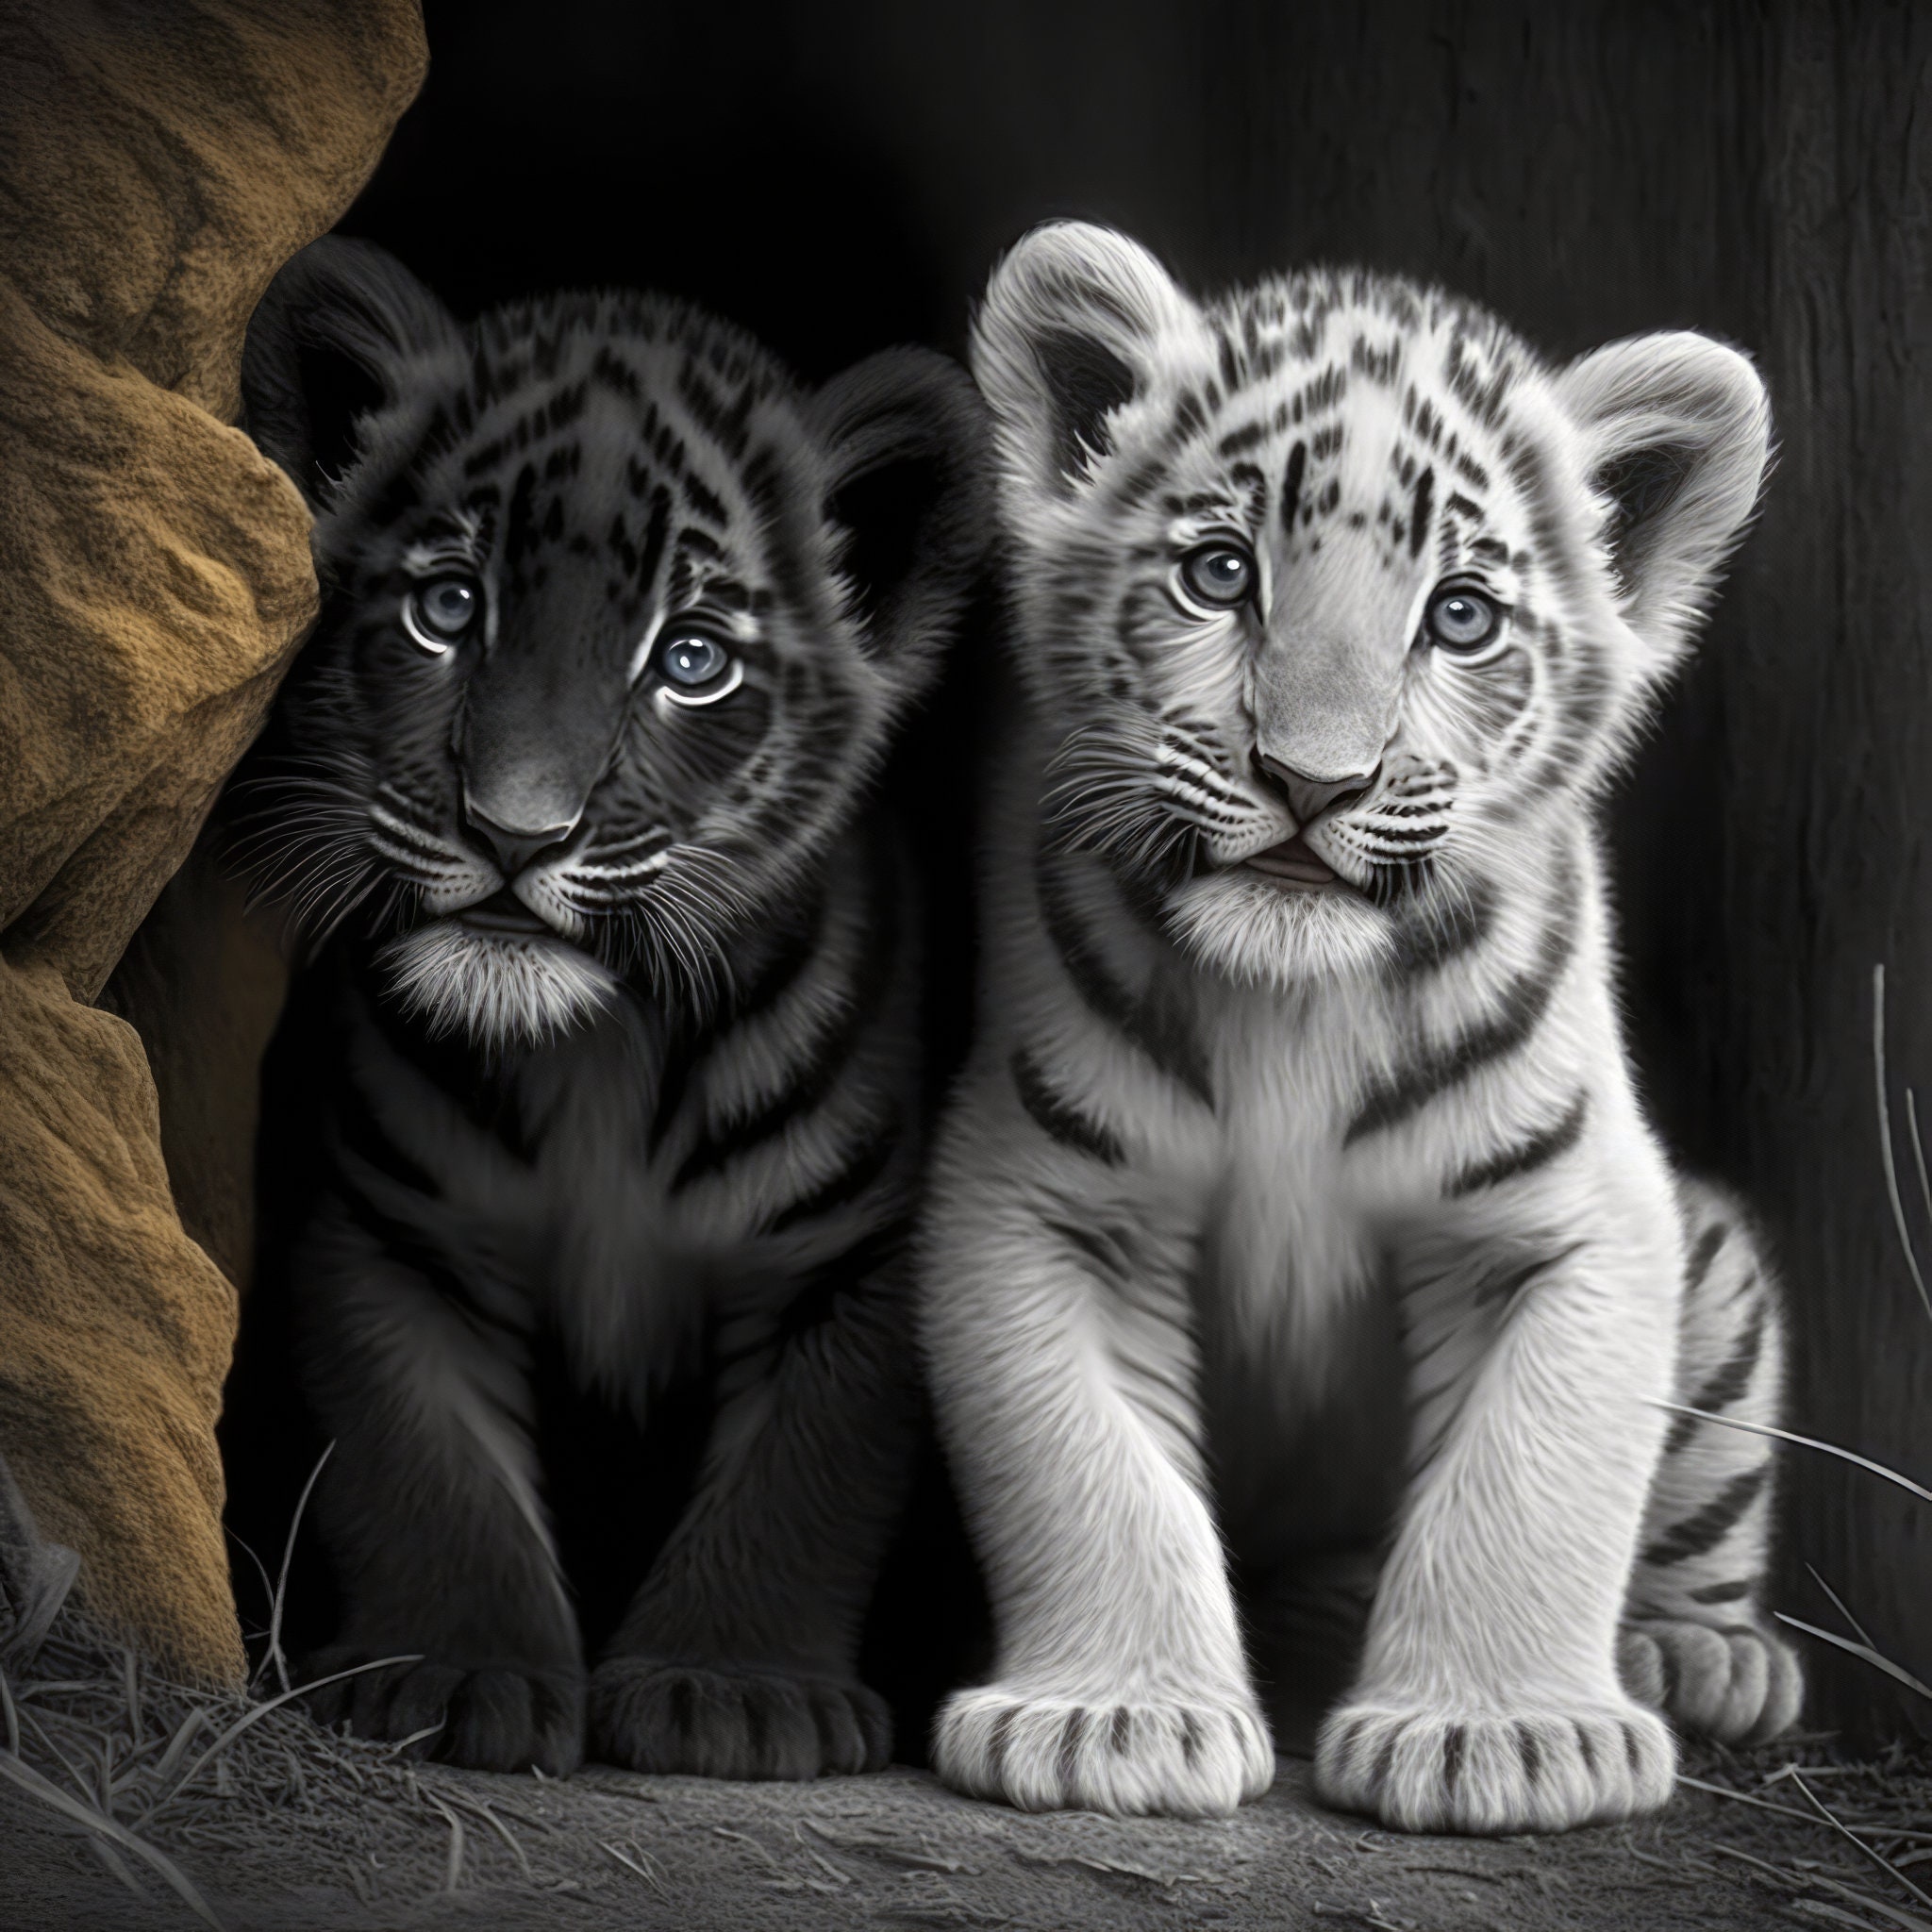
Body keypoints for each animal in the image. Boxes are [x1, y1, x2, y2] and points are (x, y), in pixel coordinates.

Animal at [232, 235, 987, 1778]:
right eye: (448, 610)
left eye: (690, 658)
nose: (514, 832)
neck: (598, 1049)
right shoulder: (392, 1234)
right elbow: (424, 1467)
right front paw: (449, 1672)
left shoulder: (846, 1259)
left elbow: (801, 1478)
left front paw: (736, 1691)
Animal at [917, 220, 1799, 1833]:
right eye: (1219, 576)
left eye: (1459, 614)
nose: (1312, 781)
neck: (1293, 1000)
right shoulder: (1039, 1194)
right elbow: (1090, 1468)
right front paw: (1112, 1721)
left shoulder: (1572, 1215)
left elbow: (1532, 1479)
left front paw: (1508, 1739)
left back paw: (1700, 1658)